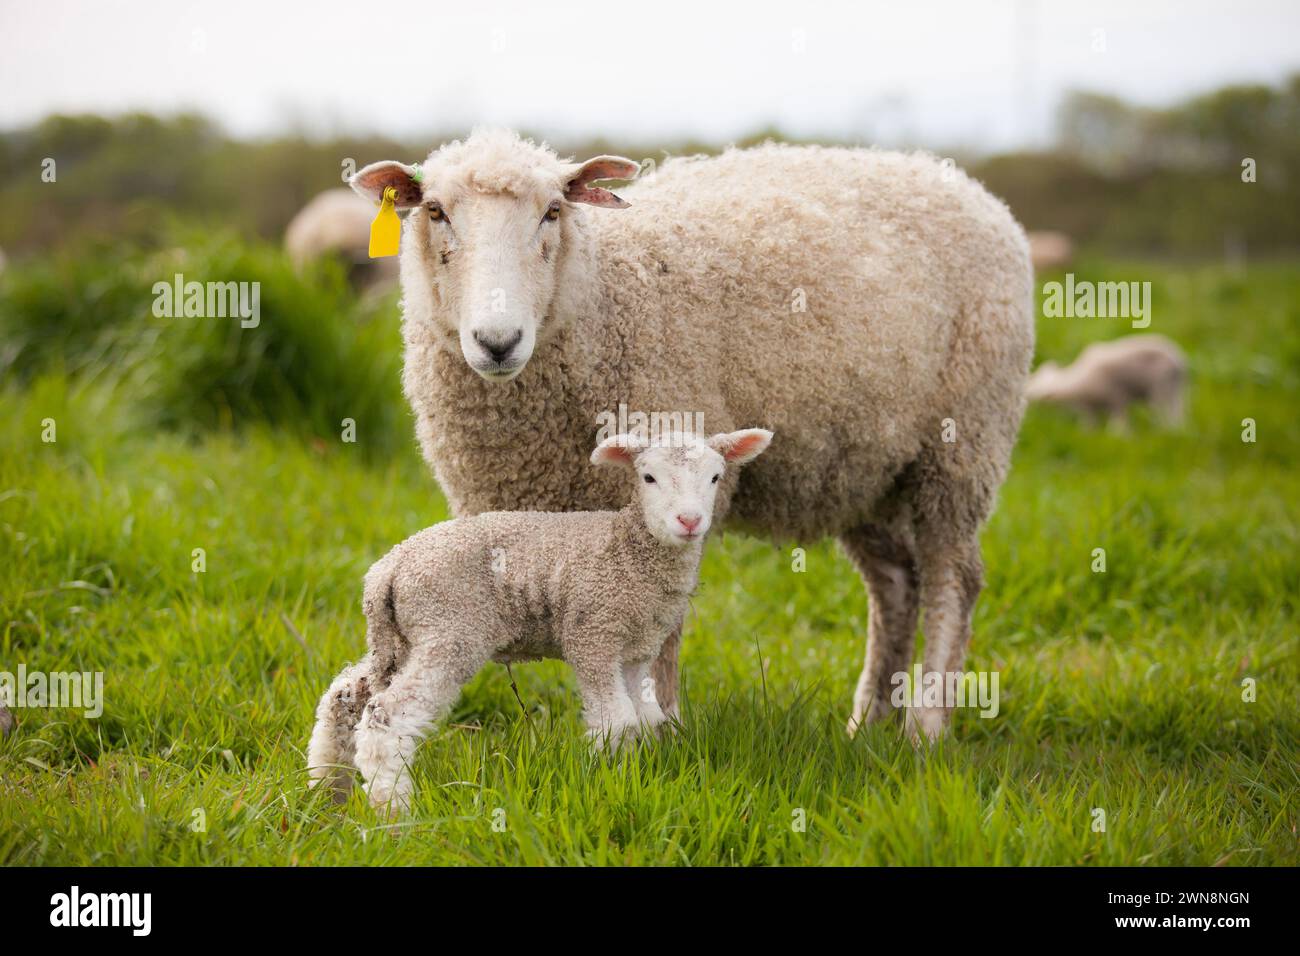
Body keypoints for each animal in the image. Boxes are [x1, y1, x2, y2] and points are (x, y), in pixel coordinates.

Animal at [307, 428, 773, 812]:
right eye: (648, 478)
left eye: (715, 477)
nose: (689, 521)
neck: (629, 549)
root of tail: (388, 569)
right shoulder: (593, 633)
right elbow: (616, 721)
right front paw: (603, 787)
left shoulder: (636, 649)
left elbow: (644, 718)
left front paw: (633, 780)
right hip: (449, 629)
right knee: (386, 717)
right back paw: (394, 813)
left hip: (401, 640)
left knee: (343, 696)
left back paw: (328, 791)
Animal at [347, 128, 1035, 743]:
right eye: (434, 212)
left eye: (552, 212)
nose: (498, 341)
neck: (601, 299)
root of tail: (972, 189)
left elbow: (662, 635)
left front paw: (663, 732)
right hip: (859, 465)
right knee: (895, 581)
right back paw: (867, 725)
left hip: (963, 440)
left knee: (952, 578)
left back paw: (926, 730)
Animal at [1027, 334, 1187, 429]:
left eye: (1033, 396)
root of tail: (1179, 358)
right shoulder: (1090, 408)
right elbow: (1089, 425)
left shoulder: (1117, 396)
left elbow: (1119, 423)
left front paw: (1119, 436)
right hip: (1176, 389)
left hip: (1162, 388)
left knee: (1169, 413)